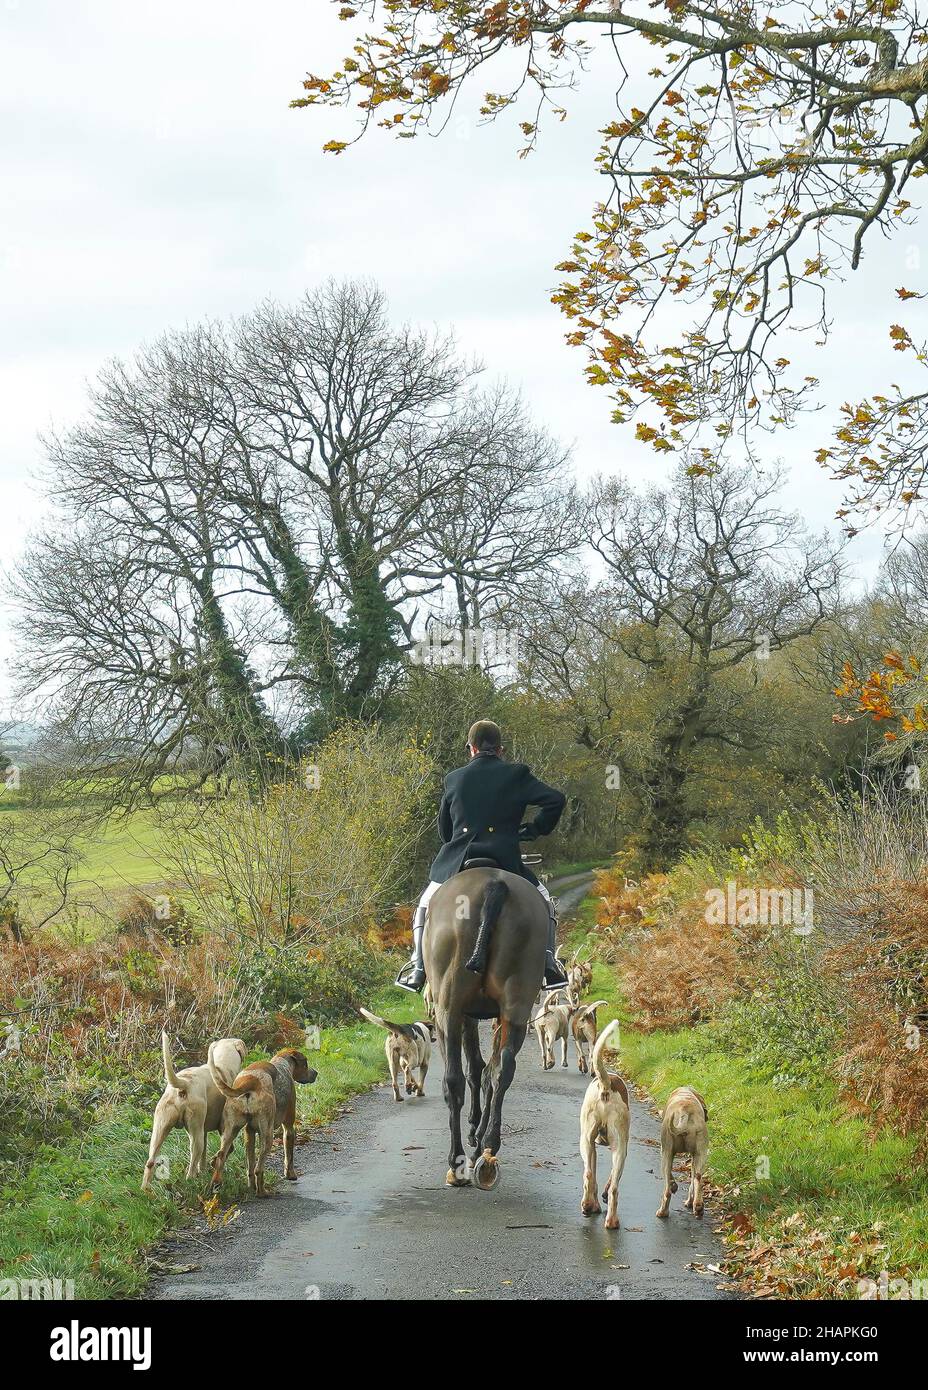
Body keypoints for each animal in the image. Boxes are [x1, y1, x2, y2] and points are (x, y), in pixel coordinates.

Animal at [422, 858, 548, 1191]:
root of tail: (495, 884)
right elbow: (488, 1069)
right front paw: (478, 1136)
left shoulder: (461, 1014)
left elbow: (473, 1068)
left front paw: (472, 1132)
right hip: (516, 1007)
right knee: (503, 1070)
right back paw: (489, 1150)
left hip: (449, 1009)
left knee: (453, 1080)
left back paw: (457, 1161)